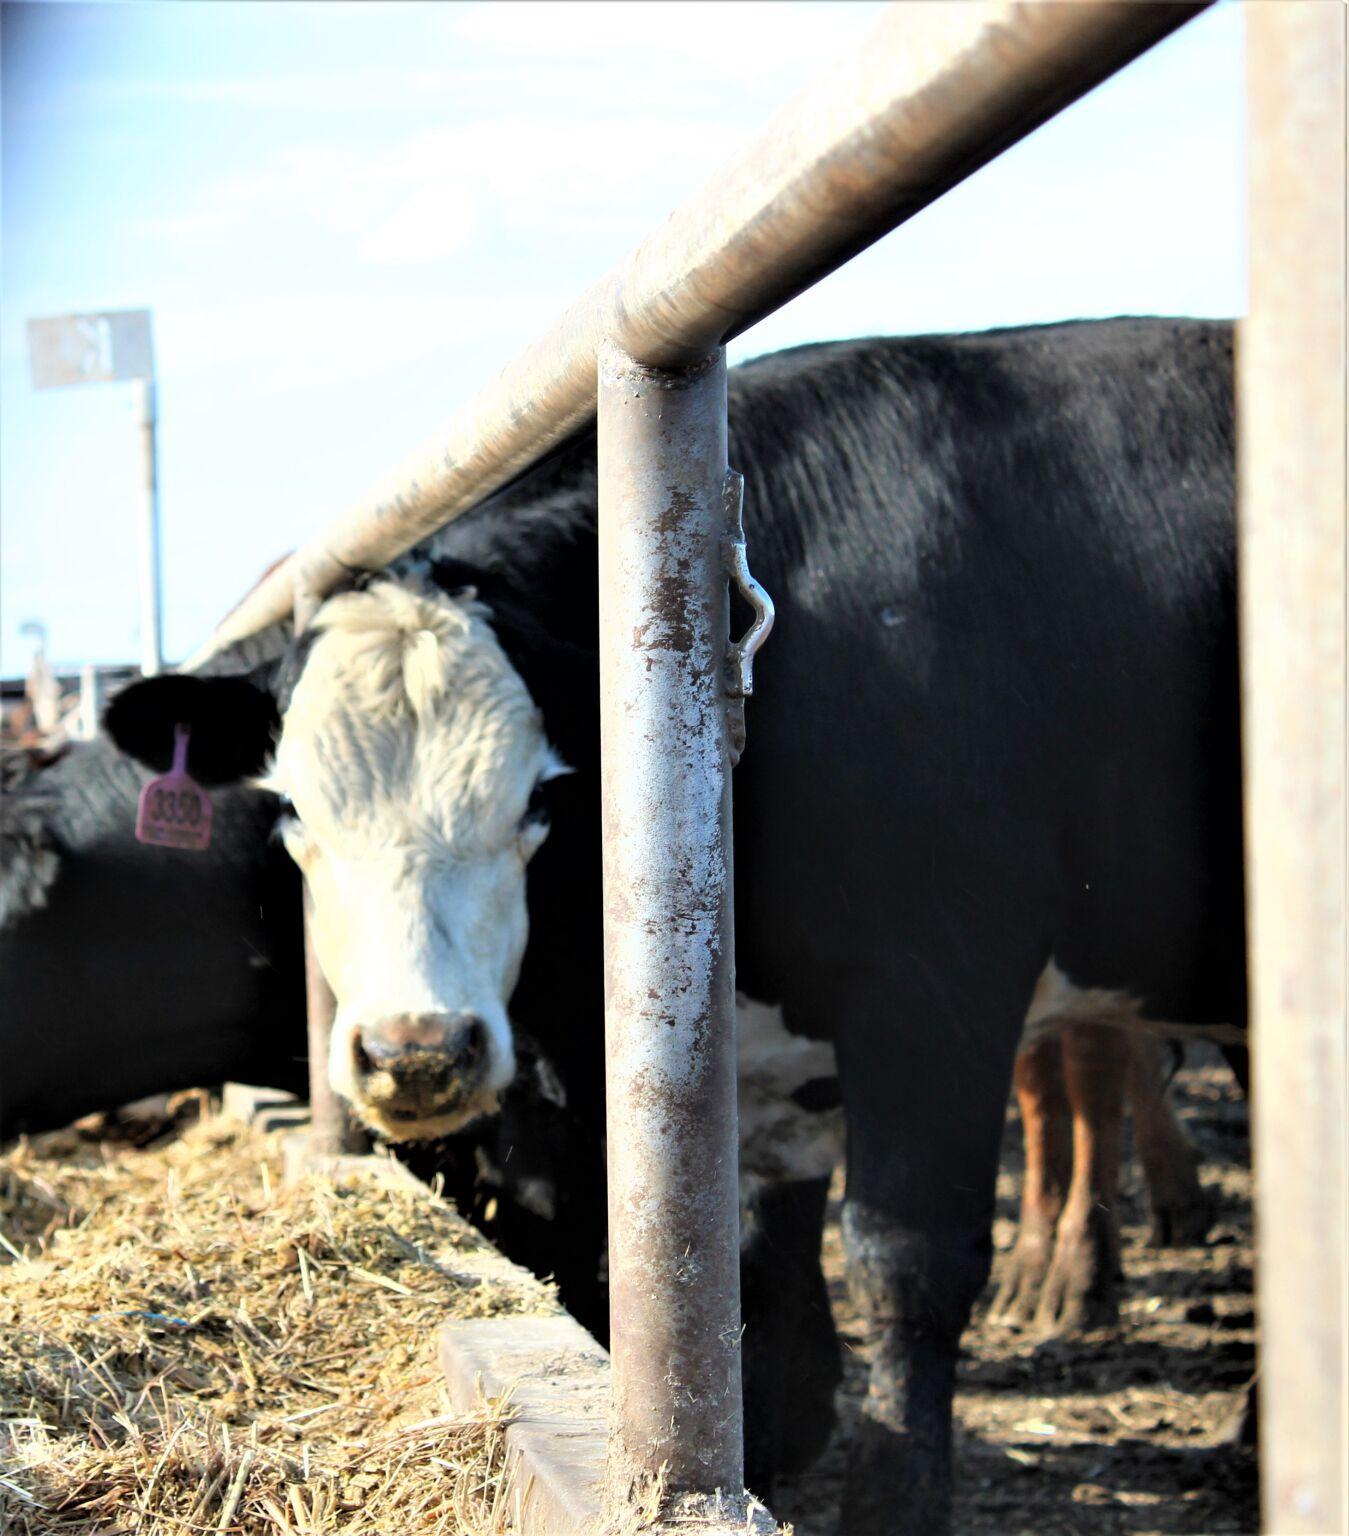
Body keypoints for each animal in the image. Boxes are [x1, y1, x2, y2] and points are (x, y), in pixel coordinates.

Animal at [105, 317, 1243, 1533]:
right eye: (293, 812)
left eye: (540, 799)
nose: (415, 1053)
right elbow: (756, 1267)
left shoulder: (938, 987)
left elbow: (906, 1263)